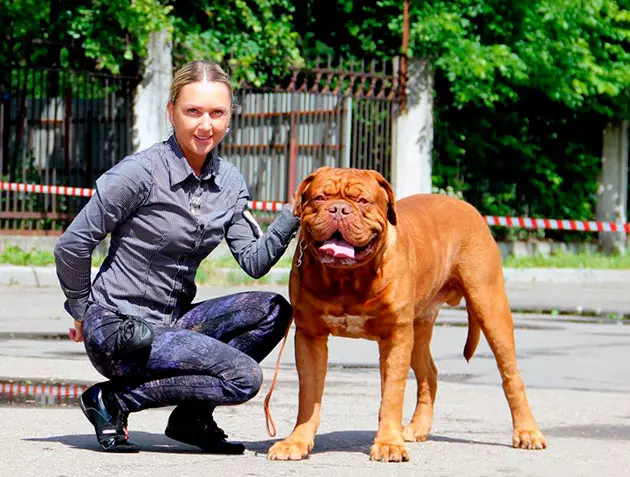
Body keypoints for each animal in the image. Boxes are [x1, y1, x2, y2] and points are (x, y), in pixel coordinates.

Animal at [270, 167, 552, 462]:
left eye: (362, 201)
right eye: (321, 197)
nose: (338, 209)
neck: (347, 278)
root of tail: (468, 207)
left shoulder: (396, 336)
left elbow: (392, 393)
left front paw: (388, 444)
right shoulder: (310, 337)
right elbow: (308, 395)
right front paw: (297, 442)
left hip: (489, 306)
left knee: (511, 375)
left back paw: (527, 432)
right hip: (418, 328)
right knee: (429, 374)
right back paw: (418, 427)